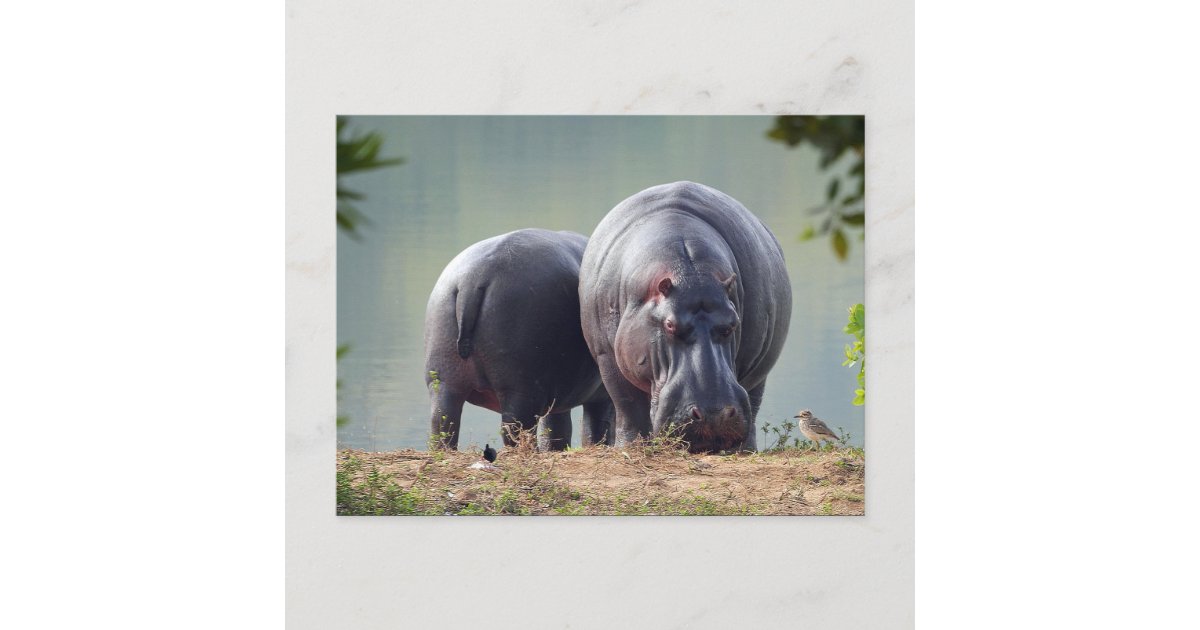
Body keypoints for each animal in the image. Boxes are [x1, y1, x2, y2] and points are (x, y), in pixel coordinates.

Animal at [424, 229, 613, 451]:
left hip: (443, 379)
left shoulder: (557, 396)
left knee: (442, 422)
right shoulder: (601, 395)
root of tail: (472, 280)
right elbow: (597, 428)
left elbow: (556, 429)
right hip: (520, 390)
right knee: (514, 429)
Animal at [578, 182, 792, 453]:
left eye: (732, 324)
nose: (714, 415)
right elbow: (628, 407)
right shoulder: (607, 356)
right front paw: (630, 448)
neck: (690, 272)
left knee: (753, 406)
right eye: (669, 324)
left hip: (758, 373)